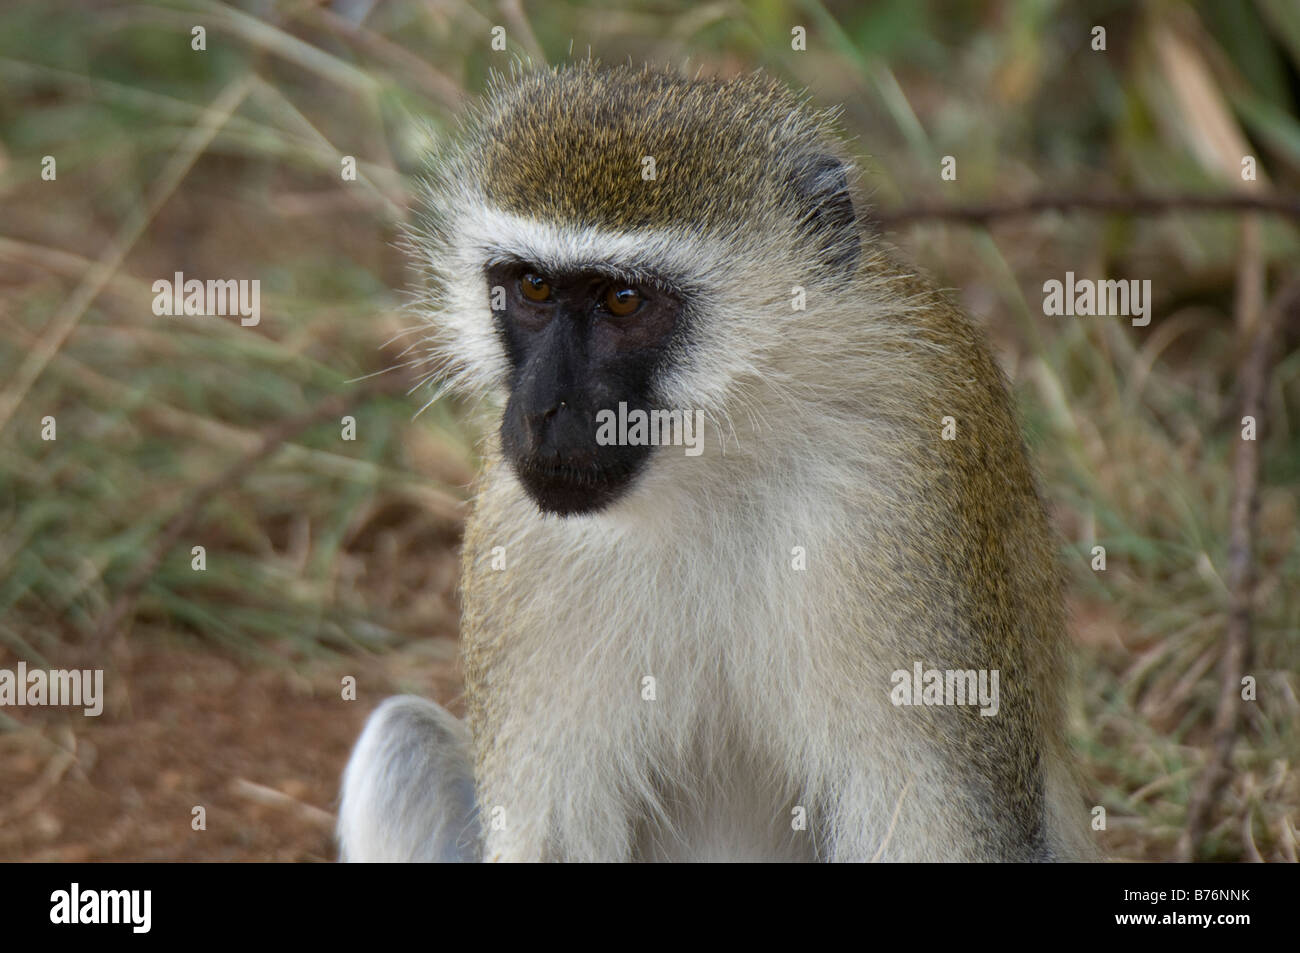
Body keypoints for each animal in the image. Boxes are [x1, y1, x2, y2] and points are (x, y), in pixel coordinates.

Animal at [337, 63, 1098, 862]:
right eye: (533, 287)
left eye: (624, 298)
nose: (541, 409)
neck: (715, 463)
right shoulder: (519, 530)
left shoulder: (901, 482)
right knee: (401, 743)